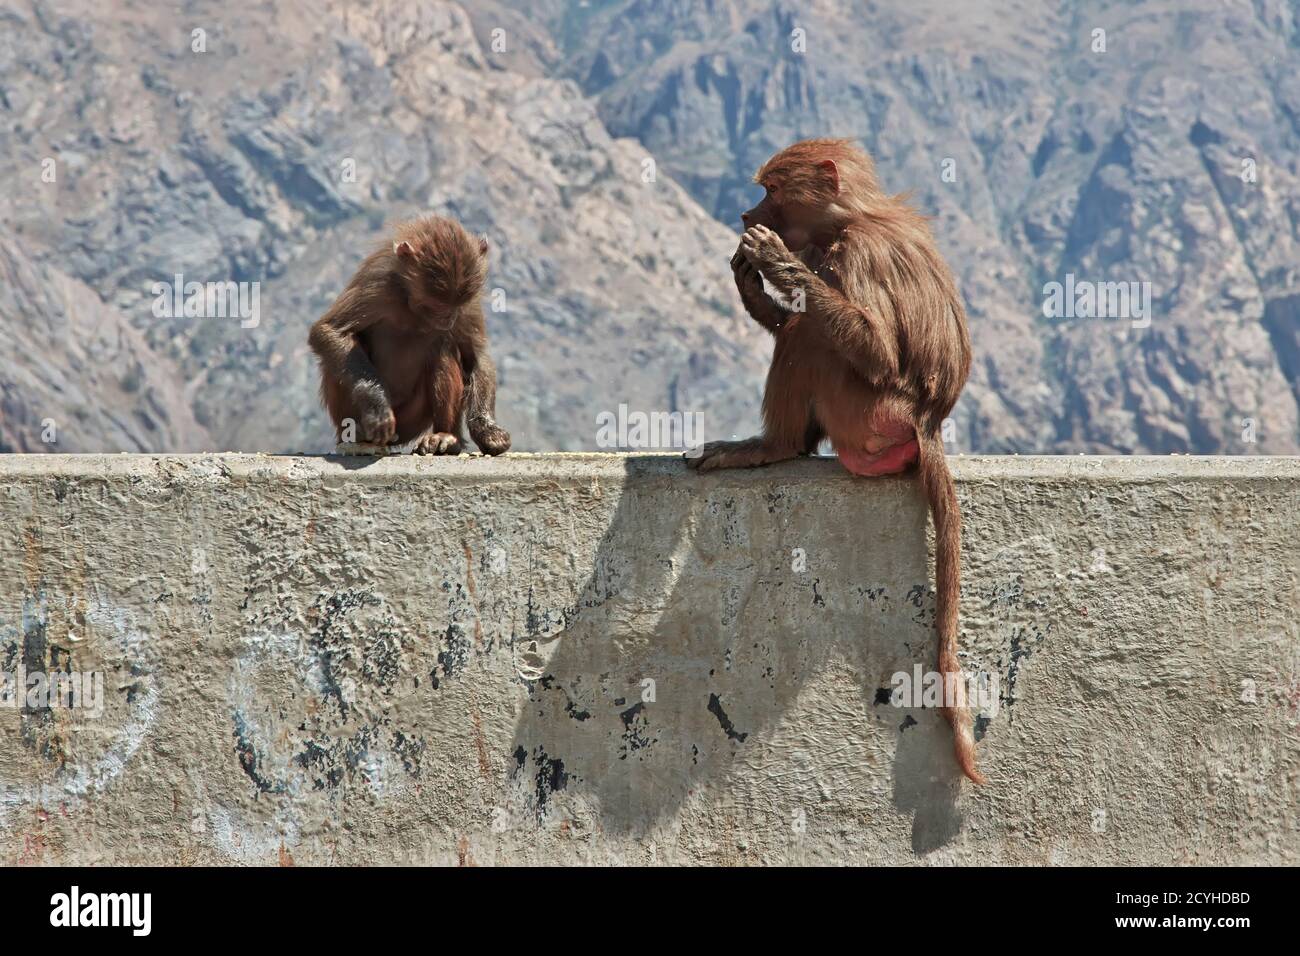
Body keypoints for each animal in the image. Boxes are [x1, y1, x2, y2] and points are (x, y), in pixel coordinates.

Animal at [308, 215, 511, 457]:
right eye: (435, 305)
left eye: (455, 305)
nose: (448, 320)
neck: (410, 302)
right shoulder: (378, 283)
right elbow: (330, 331)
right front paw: (377, 405)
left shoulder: (469, 303)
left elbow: (475, 356)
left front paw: (487, 430)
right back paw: (359, 438)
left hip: (412, 419)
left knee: (443, 350)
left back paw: (445, 437)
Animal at [687, 139, 983, 784]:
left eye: (771, 190)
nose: (747, 215)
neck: (847, 220)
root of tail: (928, 421)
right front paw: (752, 279)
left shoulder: (857, 254)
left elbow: (875, 349)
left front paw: (775, 262)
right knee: (803, 330)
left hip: (872, 414)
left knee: (810, 338)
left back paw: (771, 448)